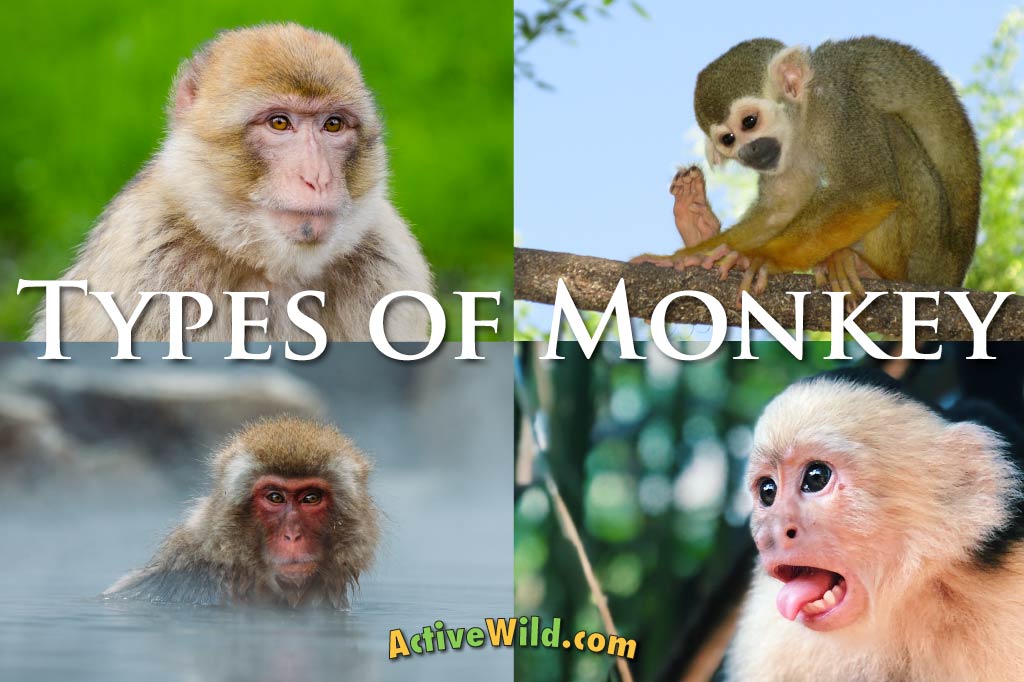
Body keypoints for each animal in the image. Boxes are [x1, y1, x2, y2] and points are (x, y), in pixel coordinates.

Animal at [29, 23, 433, 342]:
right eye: (279, 123)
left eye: (333, 125)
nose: (317, 178)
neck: (271, 267)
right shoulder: (150, 275)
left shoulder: (389, 268)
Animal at [634, 38, 980, 303]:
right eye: (728, 140)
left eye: (749, 122)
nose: (749, 152)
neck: (804, 115)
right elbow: (779, 210)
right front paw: (684, 258)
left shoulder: (840, 108)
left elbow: (868, 189)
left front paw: (761, 258)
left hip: (929, 254)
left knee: (891, 130)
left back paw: (879, 271)